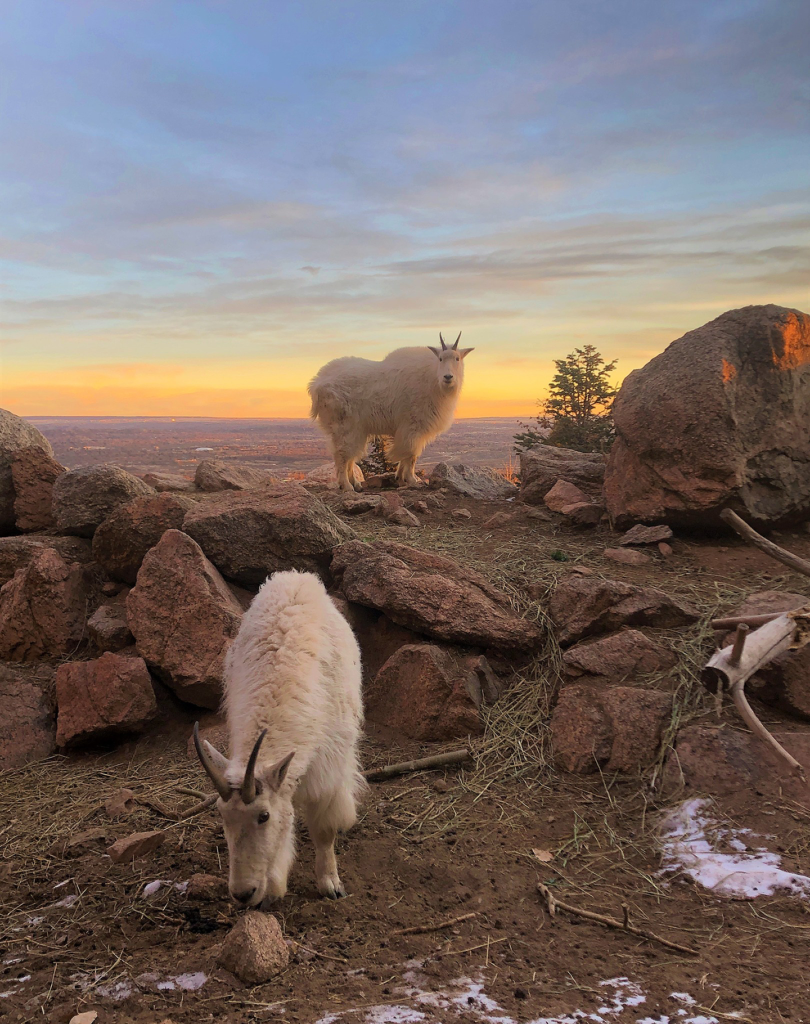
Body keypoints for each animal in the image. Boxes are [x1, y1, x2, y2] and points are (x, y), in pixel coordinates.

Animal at [193, 569, 364, 907]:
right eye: (222, 815)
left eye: (263, 816)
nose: (243, 893)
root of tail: (296, 576)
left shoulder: (328, 769)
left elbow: (324, 829)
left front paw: (330, 883)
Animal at [308, 332, 474, 491]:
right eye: (440, 359)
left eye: (457, 358)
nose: (448, 377)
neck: (434, 379)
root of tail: (317, 385)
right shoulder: (413, 425)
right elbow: (411, 454)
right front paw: (412, 480)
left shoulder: (406, 430)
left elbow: (404, 454)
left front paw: (400, 479)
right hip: (344, 425)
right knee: (342, 455)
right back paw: (347, 486)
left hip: (355, 430)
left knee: (350, 456)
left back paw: (356, 484)